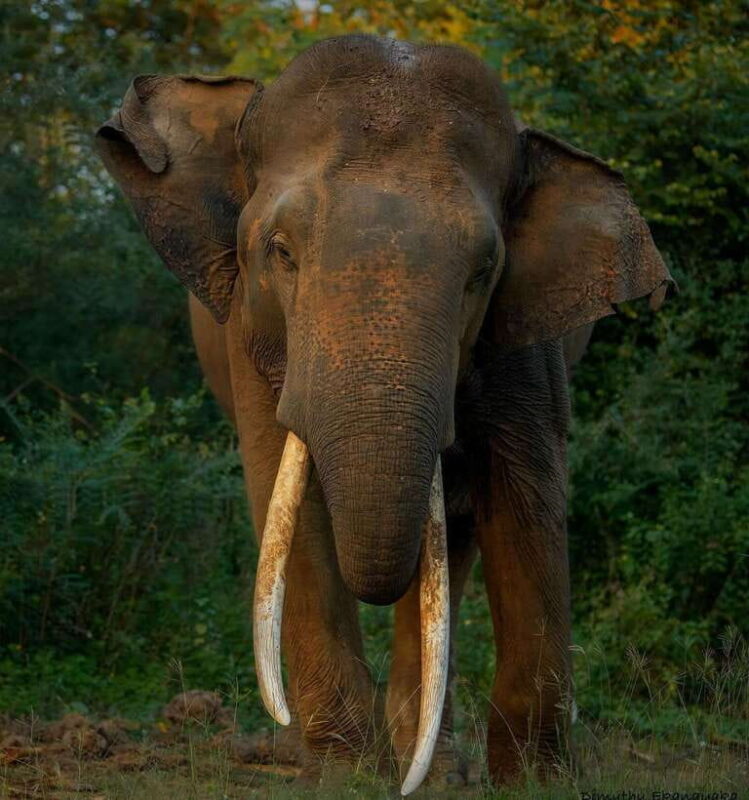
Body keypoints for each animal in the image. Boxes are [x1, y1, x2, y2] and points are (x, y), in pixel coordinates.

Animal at [95, 34, 671, 793]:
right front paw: (345, 777)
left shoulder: (524, 334)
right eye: (280, 251)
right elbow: (283, 490)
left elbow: (526, 495)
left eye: (482, 272)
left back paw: (437, 767)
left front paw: (537, 783)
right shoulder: (250, 328)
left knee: (454, 537)